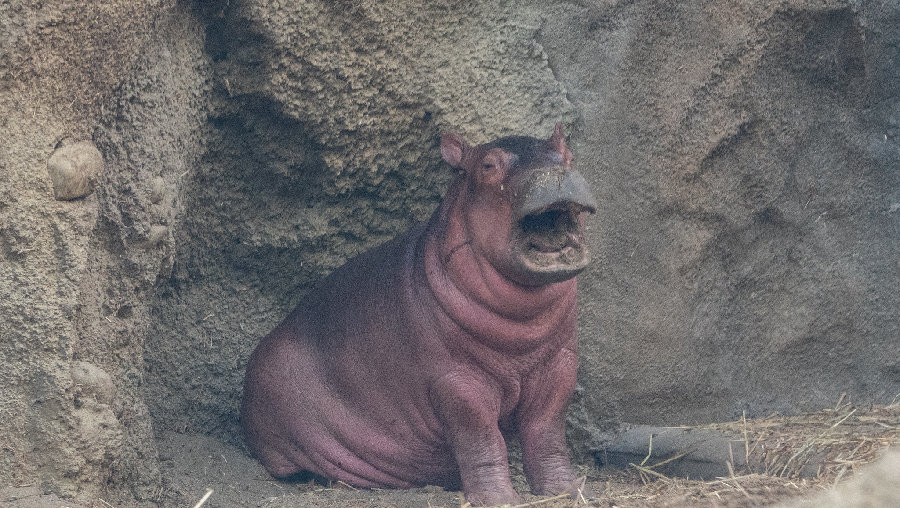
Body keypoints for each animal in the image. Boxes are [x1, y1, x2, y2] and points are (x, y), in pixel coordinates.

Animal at [242, 124, 597, 506]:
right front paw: (499, 499)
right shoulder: (457, 381)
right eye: (488, 165)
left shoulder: (560, 364)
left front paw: (566, 490)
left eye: (567, 153)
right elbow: (481, 439)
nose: (556, 172)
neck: (525, 326)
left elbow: (547, 430)